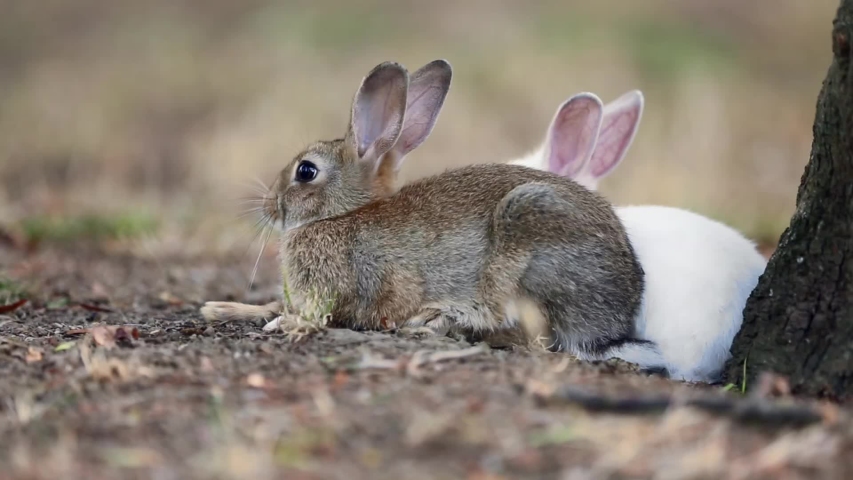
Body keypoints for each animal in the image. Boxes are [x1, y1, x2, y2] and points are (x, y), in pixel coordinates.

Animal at [202, 60, 667, 368]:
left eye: (306, 171)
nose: (268, 206)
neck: (342, 216)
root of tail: (616, 321)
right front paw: (221, 309)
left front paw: (282, 324)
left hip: (524, 226)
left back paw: (433, 321)